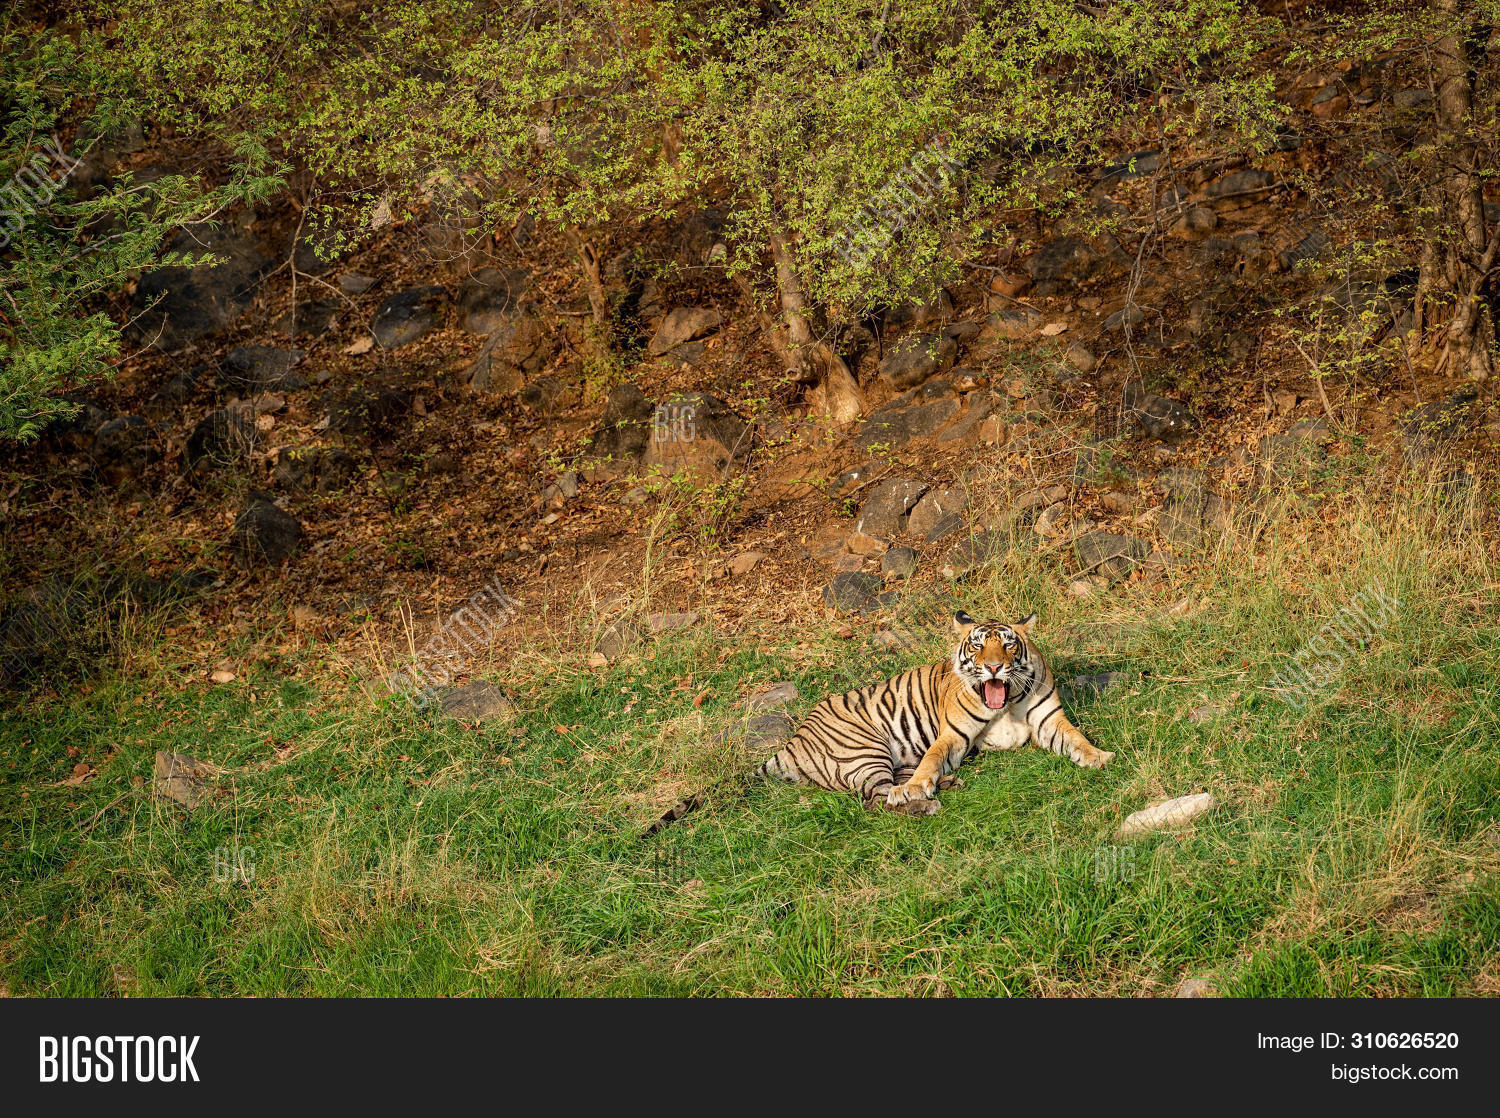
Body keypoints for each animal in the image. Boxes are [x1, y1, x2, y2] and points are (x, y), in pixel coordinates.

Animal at [645, 609, 1112, 834]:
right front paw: (923, 786)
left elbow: (1076, 739)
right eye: (978, 646)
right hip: (864, 750)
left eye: (1009, 645)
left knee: (886, 793)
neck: (1005, 698)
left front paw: (1101, 757)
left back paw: (943, 786)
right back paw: (925, 801)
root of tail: (793, 741)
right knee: (877, 800)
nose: (994, 667)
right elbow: (932, 758)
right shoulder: (952, 734)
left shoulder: (1050, 720)